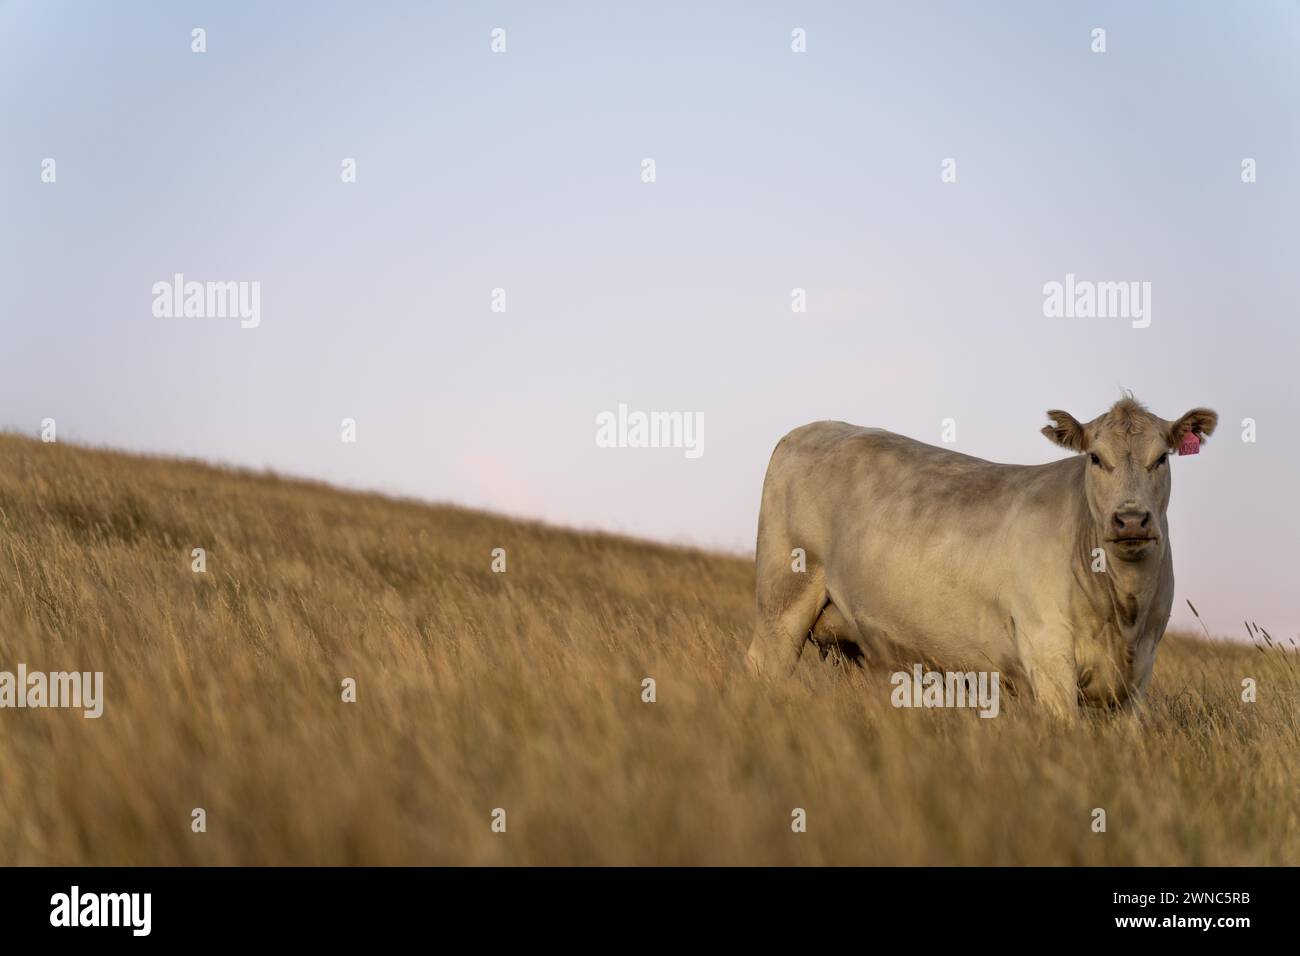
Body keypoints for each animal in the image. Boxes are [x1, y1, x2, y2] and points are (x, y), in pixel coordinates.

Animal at [746, 397, 1217, 718]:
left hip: (854, 641)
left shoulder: (1140, 673)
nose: (1131, 519)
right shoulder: (1047, 655)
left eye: (1162, 458)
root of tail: (812, 427)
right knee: (763, 663)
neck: (1123, 609)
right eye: (1096, 458)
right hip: (782, 598)